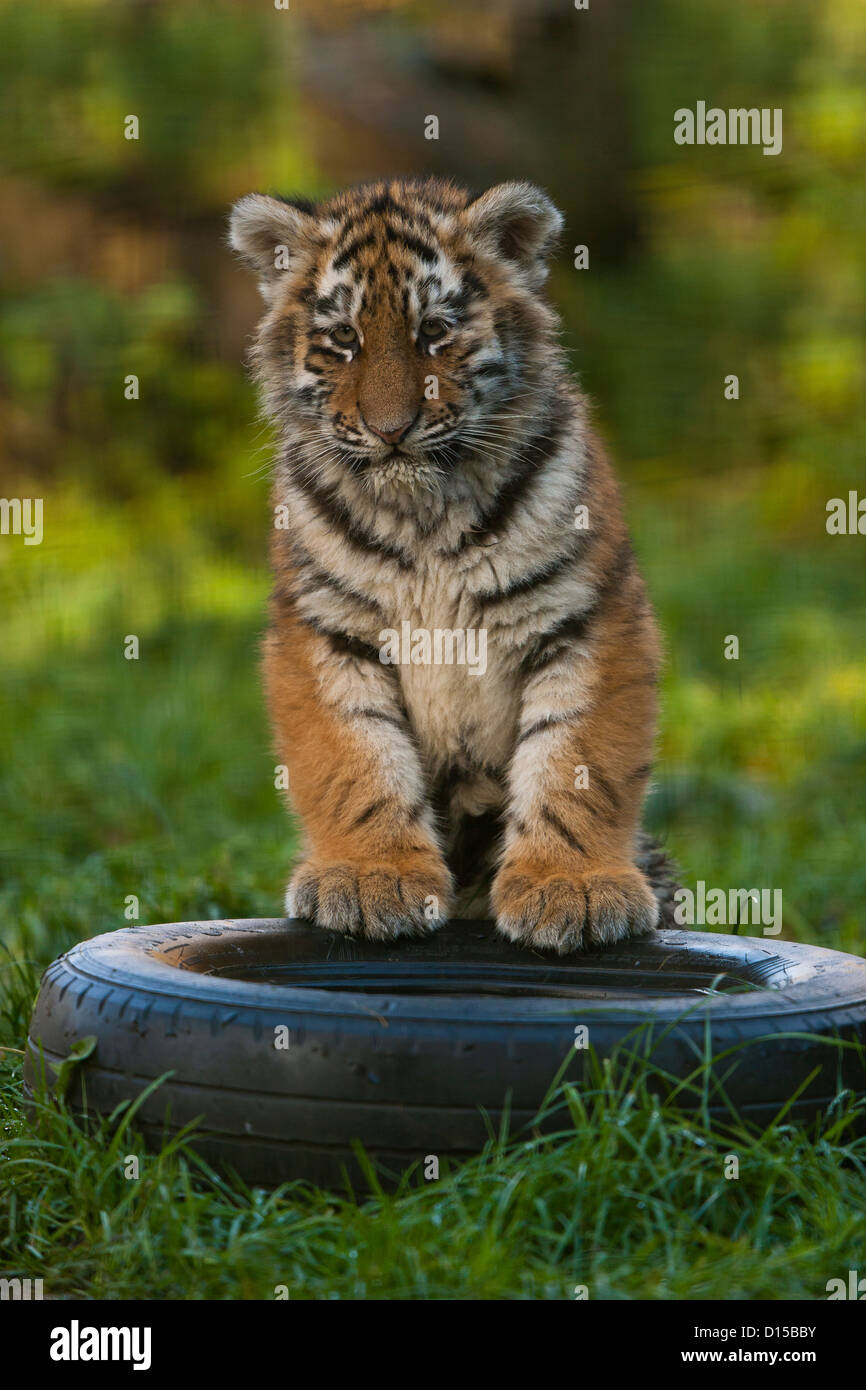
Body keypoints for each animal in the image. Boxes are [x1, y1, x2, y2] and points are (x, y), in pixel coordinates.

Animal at [229, 176, 678, 953]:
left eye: (434, 331)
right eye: (343, 339)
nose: (390, 429)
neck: (425, 517)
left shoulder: (591, 614)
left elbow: (575, 761)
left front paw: (572, 888)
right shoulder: (323, 627)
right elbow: (356, 761)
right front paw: (370, 878)